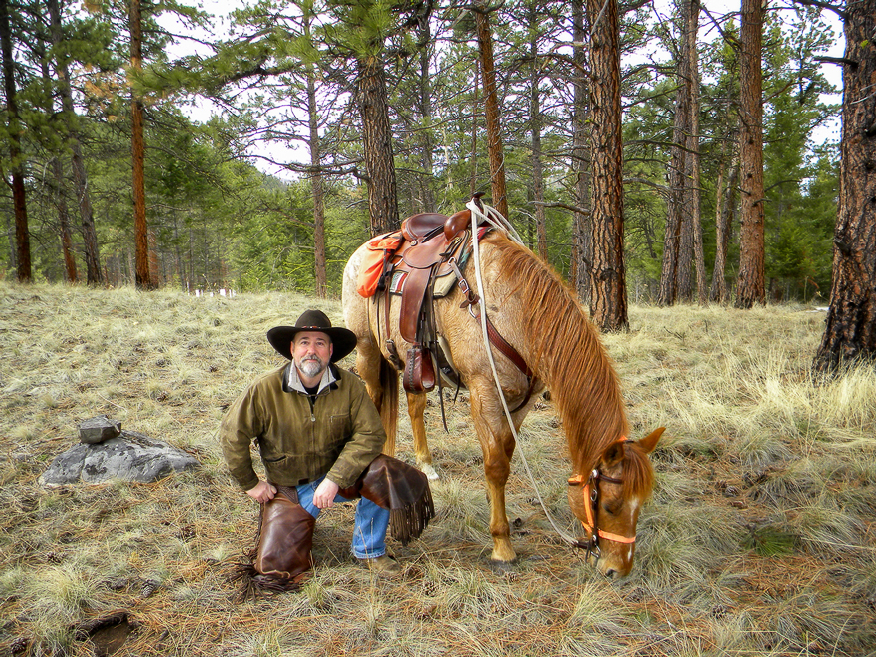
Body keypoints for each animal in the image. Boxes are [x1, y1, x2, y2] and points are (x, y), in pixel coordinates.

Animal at [341, 207, 663, 578]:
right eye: (609, 505)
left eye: (642, 503)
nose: (618, 570)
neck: (516, 311)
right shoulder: (485, 394)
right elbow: (495, 466)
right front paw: (502, 546)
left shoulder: (521, 402)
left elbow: (505, 458)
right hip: (368, 352)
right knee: (376, 400)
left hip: (413, 364)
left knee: (415, 408)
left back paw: (427, 465)